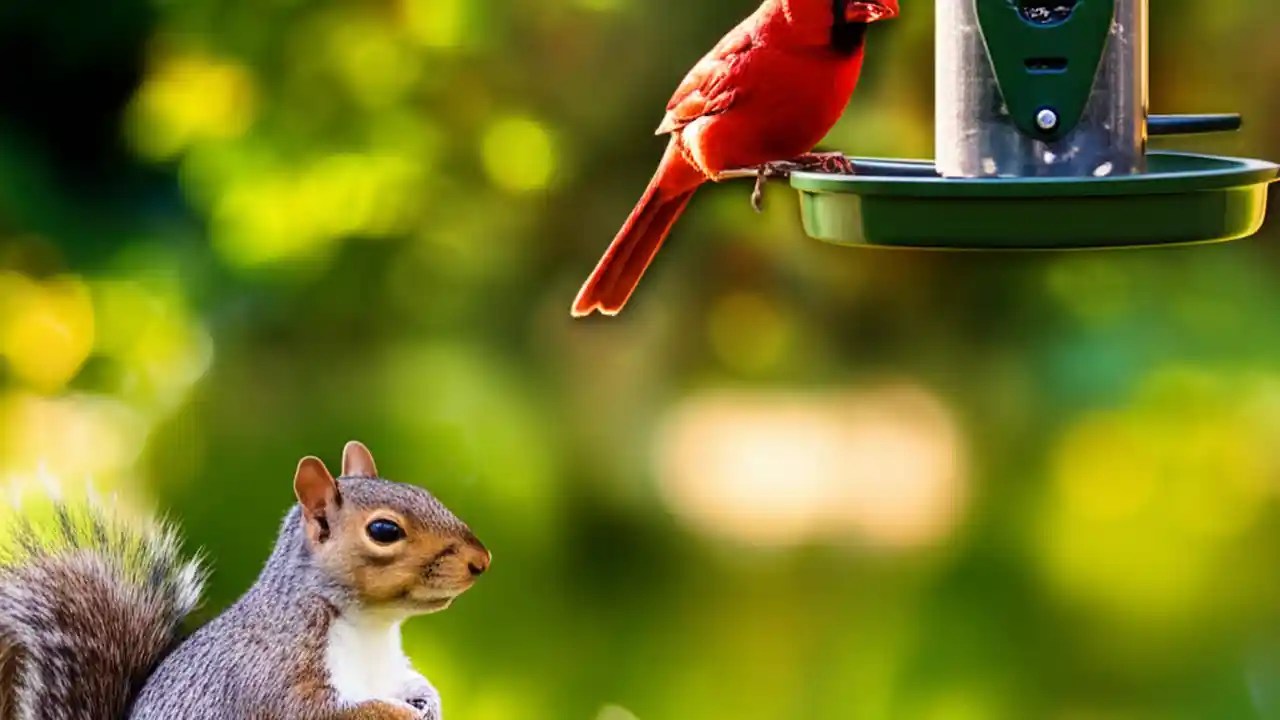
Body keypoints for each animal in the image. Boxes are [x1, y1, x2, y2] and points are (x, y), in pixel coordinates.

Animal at [0, 440, 491, 720]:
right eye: (384, 530)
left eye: (427, 494)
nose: (481, 560)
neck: (370, 629)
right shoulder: (272, 676)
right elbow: (317, 713)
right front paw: (396, 715)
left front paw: (429, 703)